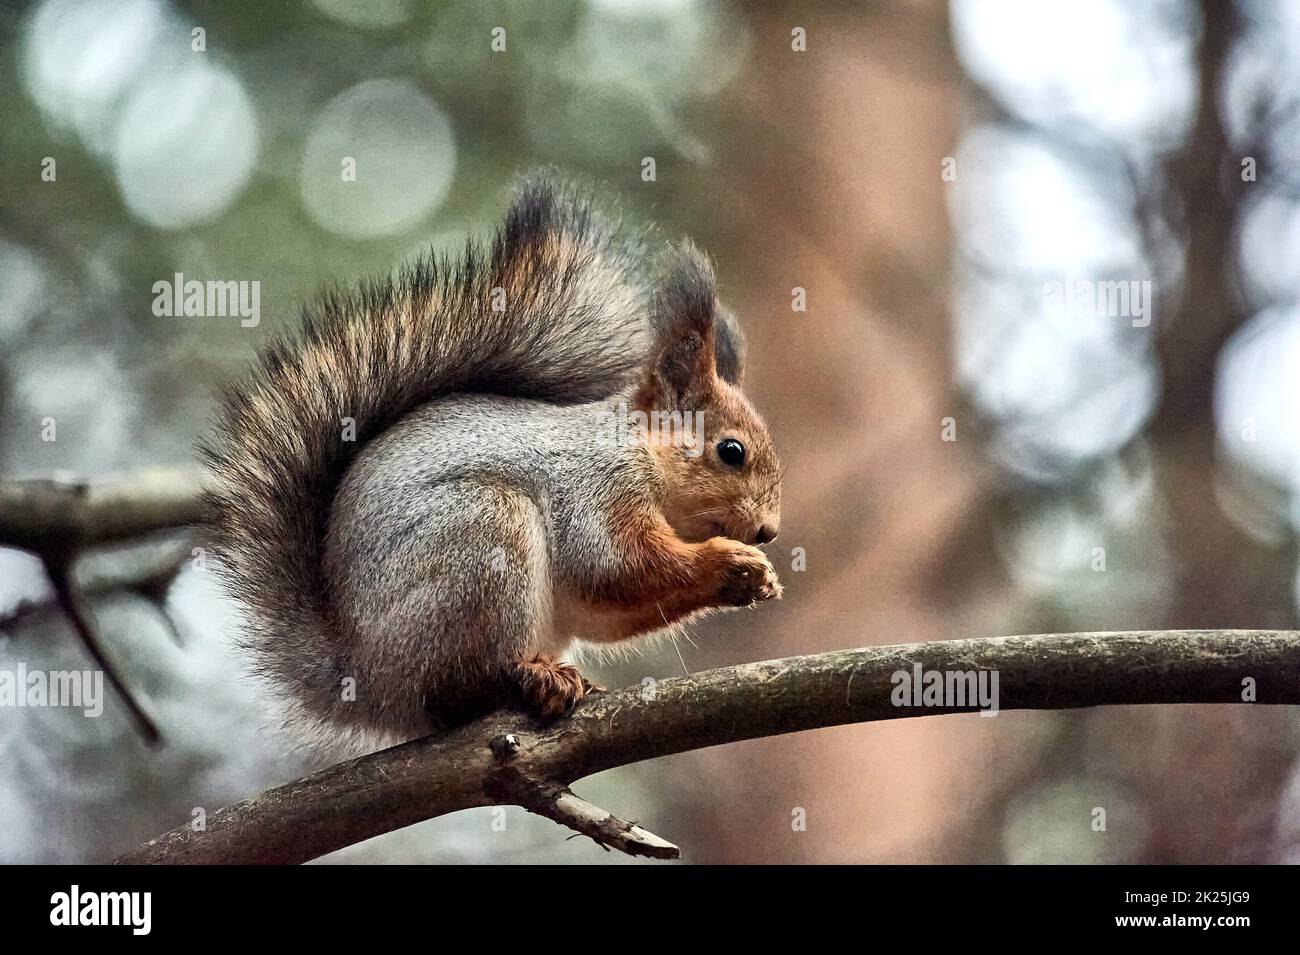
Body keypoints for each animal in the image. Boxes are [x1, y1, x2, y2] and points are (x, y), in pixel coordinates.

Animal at [201, 174, 783, 743]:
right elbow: (614, 565)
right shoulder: (596, 488)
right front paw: (730, 563)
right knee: (459, 687)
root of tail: (369, 681)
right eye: (731, 452)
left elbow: (607, 610)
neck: (640, 452)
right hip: (481, 536)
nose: (768, 532)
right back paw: (530, 678)